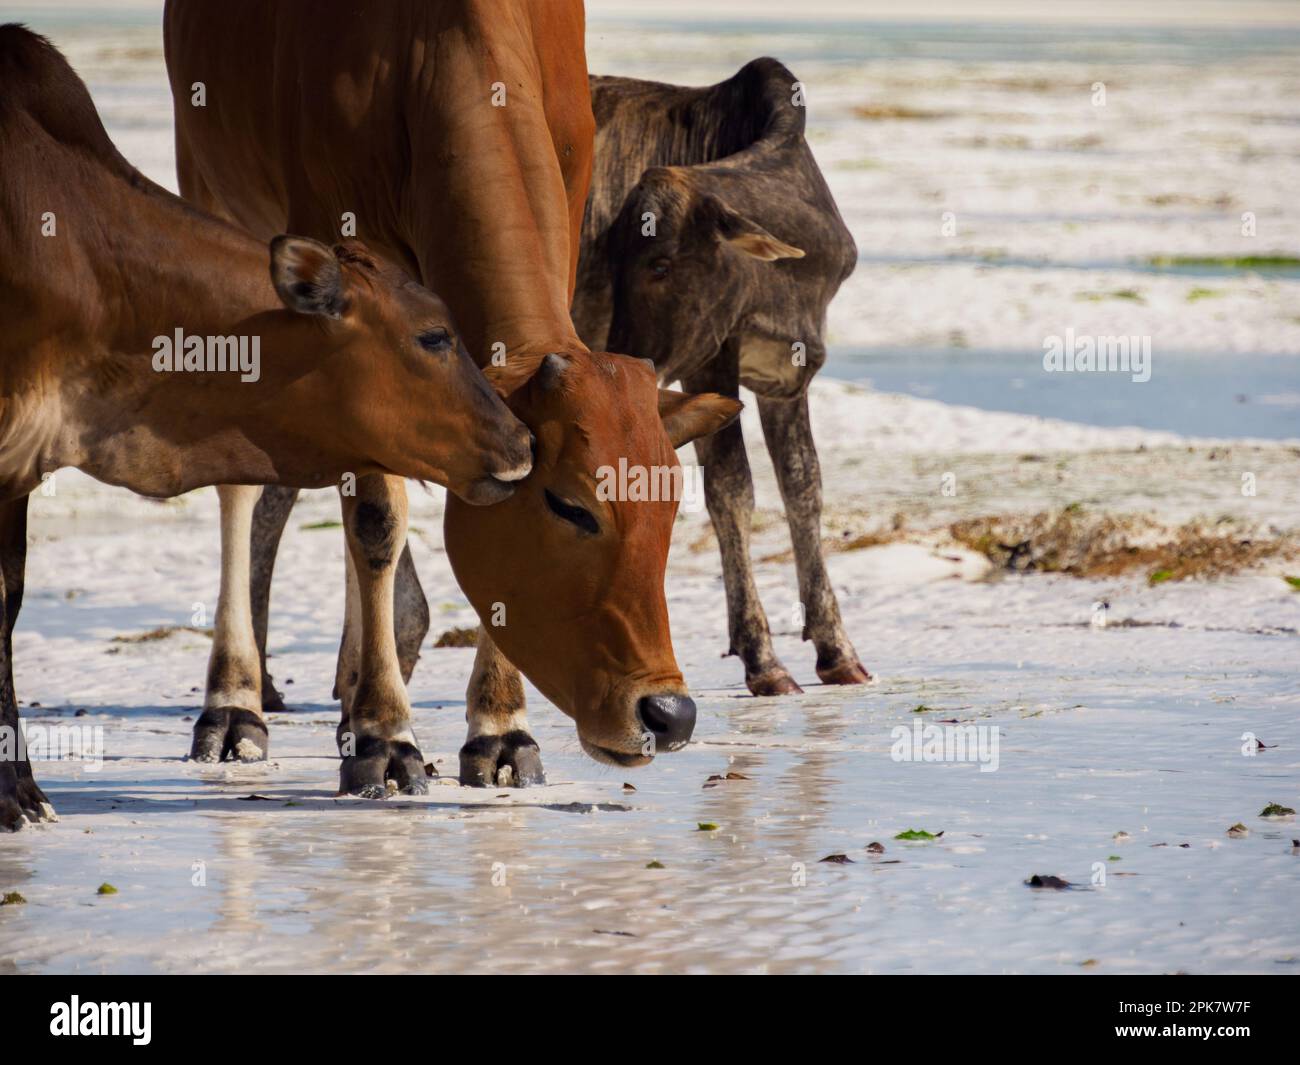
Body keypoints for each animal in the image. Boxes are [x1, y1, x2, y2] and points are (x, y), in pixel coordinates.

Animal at [163, 0, 740, 794]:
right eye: (570, 506)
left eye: (669, 509)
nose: (668, 713)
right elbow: (375, 518)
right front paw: (386, 738)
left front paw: (499, 729)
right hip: (211, 189)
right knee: (243, 487)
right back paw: (234, 706)